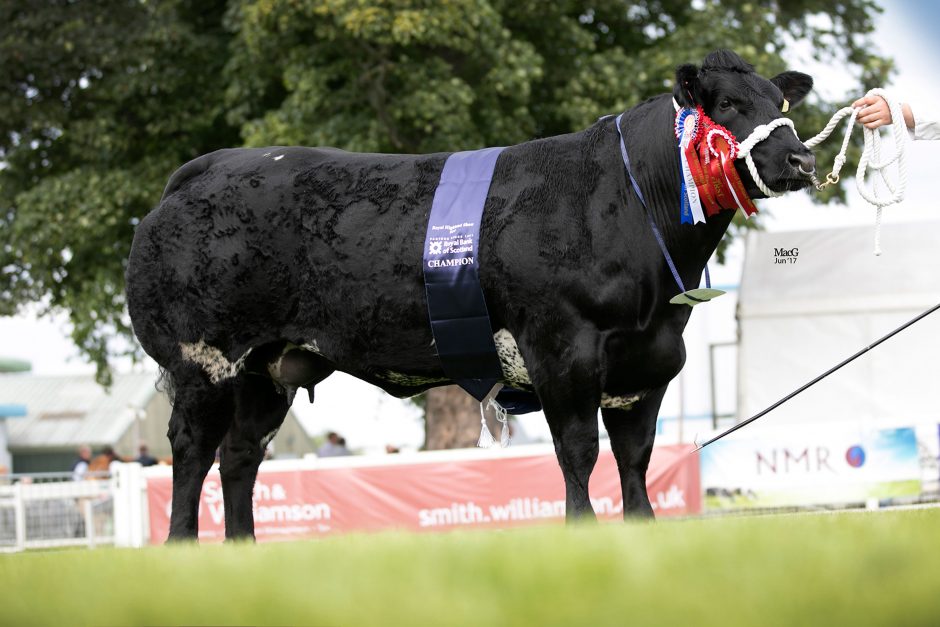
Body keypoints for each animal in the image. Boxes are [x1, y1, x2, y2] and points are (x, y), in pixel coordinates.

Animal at [126, 49, 815, 541]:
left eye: (780, 101)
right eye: (727, 104)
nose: (800, 161)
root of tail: (202, 170)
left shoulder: (647, 364)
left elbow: (635, 459)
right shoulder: (560, 349)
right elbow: (578, 451)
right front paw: (581, 533)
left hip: (269, 367)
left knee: (241, 455)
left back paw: (243, 553)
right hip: (203, 359)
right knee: (191, 451)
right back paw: (183, 548)